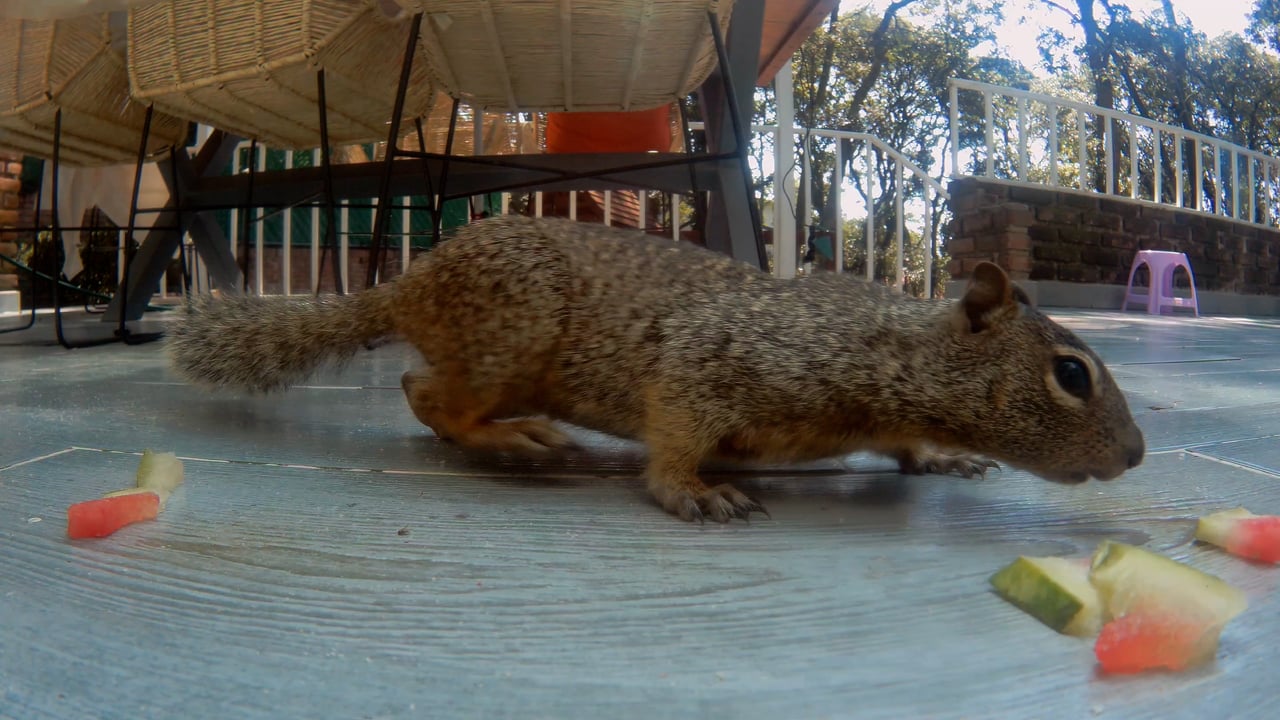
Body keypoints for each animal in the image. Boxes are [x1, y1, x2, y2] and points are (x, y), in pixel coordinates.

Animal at [166, 214, 1146, 523]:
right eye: (1071, 376)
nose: (1137, 456)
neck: (895, 350)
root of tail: (409, 284)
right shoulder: (718, 364)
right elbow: (675, 428)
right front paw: (694, 491)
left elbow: (909, 447)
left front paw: (942, 457)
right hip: (510, 337)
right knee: (428, 393)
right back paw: (519, 440)